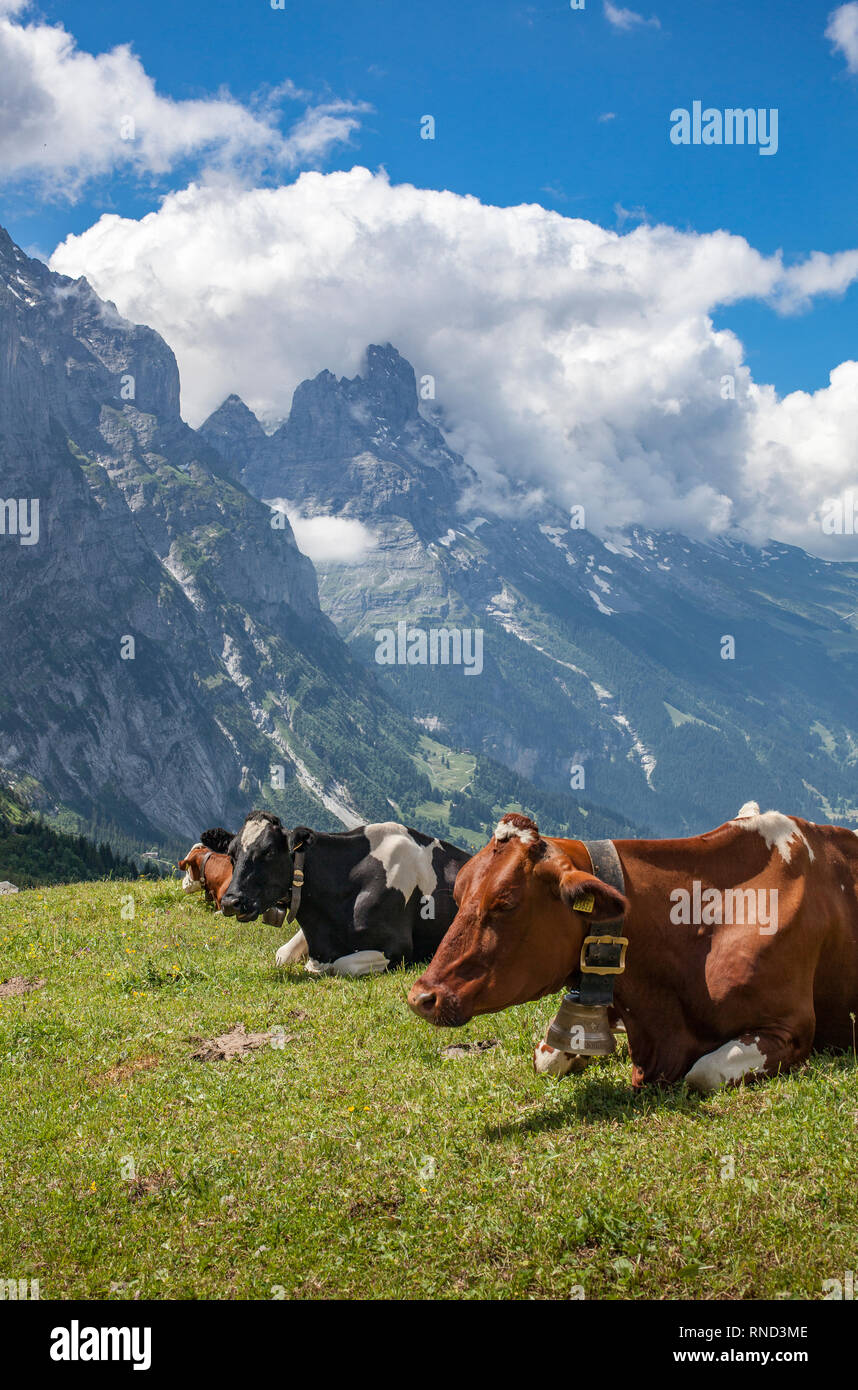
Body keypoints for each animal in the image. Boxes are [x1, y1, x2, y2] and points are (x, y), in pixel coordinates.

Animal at [220, 811, 470, 976]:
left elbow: (341, 965)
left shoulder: (397, 947)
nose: (231, 901)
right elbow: (282, 954)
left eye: (269, 851)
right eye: (231, 854)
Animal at [407, 806, 858, 1093]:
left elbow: (704, 1072)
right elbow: (546, 1058)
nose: (421, 997)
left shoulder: (791, 1027)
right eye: (459, 893)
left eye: (505, 902)